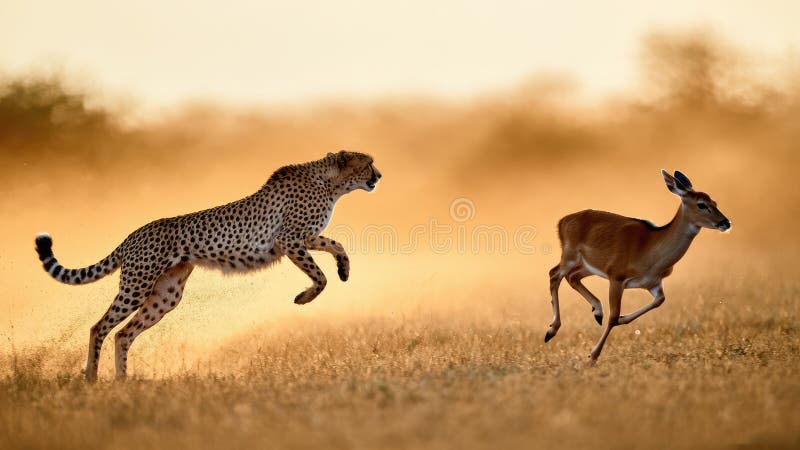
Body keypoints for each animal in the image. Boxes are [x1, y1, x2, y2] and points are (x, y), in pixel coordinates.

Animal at [544, 170, 731, 364]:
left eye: (715, 202)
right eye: (701, 204)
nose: (725, 222)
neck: (650, 252)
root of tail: (562, 221)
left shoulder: (653, 284)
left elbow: (658, 301)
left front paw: (619, 320)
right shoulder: (616, 277)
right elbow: (613, 316)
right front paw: (592, 357)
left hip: (586, 266)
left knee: (572, 277)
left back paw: (597, 313)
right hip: (569, 256)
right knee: (554, 274)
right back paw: (550, 332)